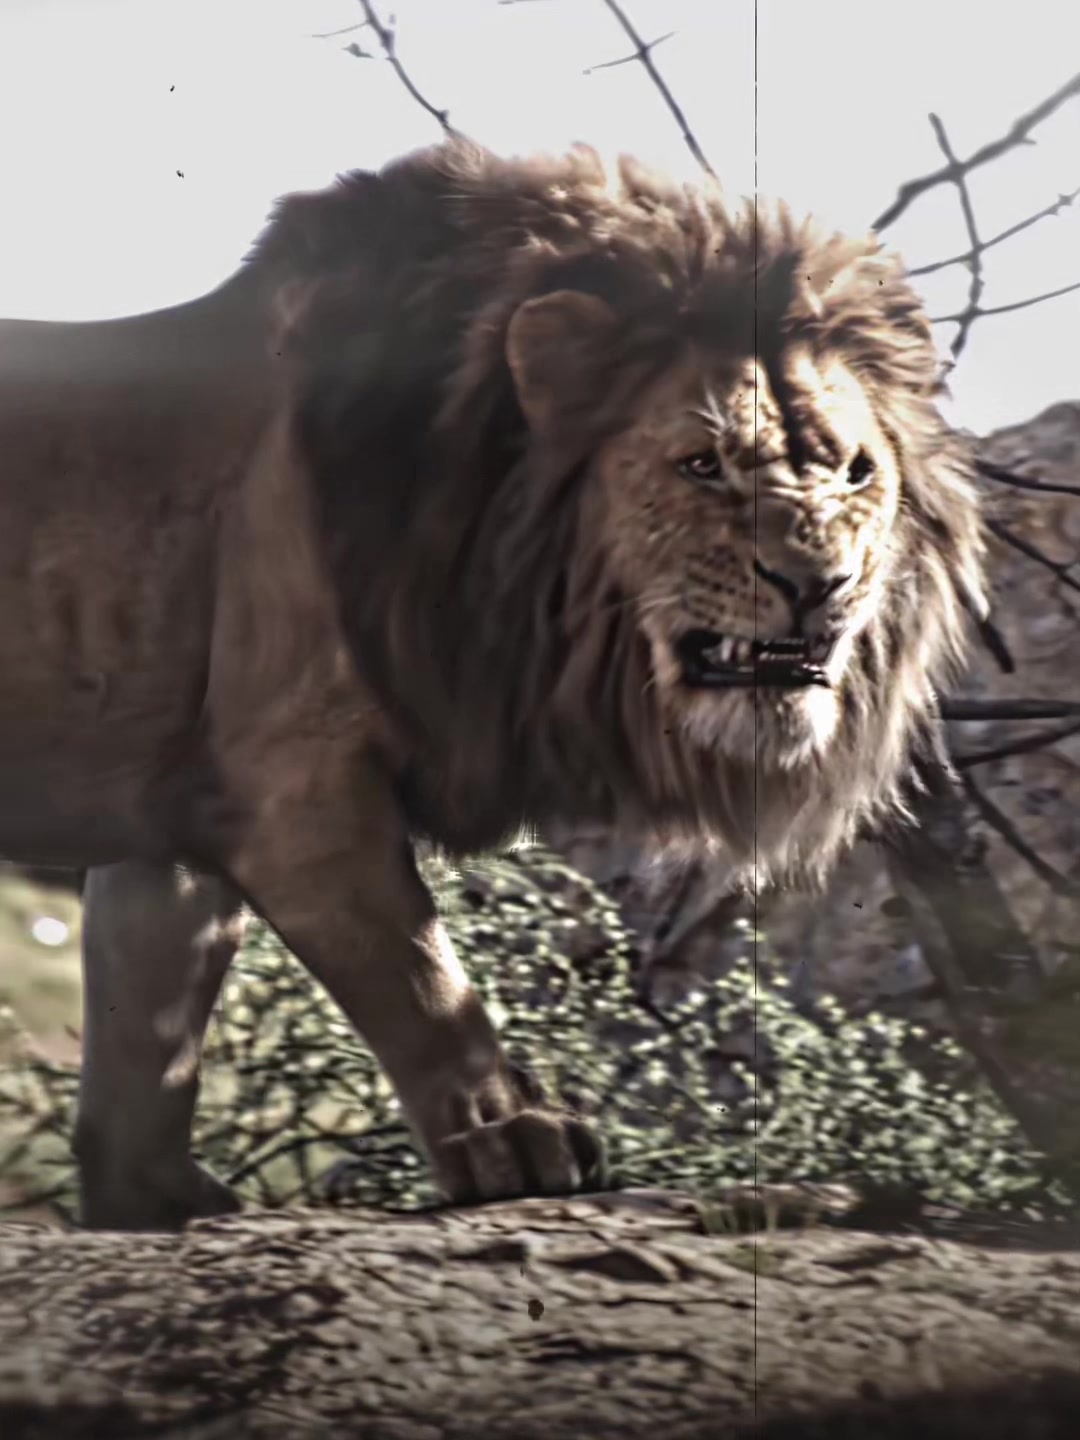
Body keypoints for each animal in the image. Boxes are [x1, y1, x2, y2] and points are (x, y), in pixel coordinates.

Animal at [0, 138, 985, 1230]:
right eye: (703, 466)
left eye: (854, 472)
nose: (822, 584)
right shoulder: (288, 782)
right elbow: (426, 978)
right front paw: (511, 1142)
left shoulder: (173, 808)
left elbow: (148, 1028)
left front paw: (161, 1201)